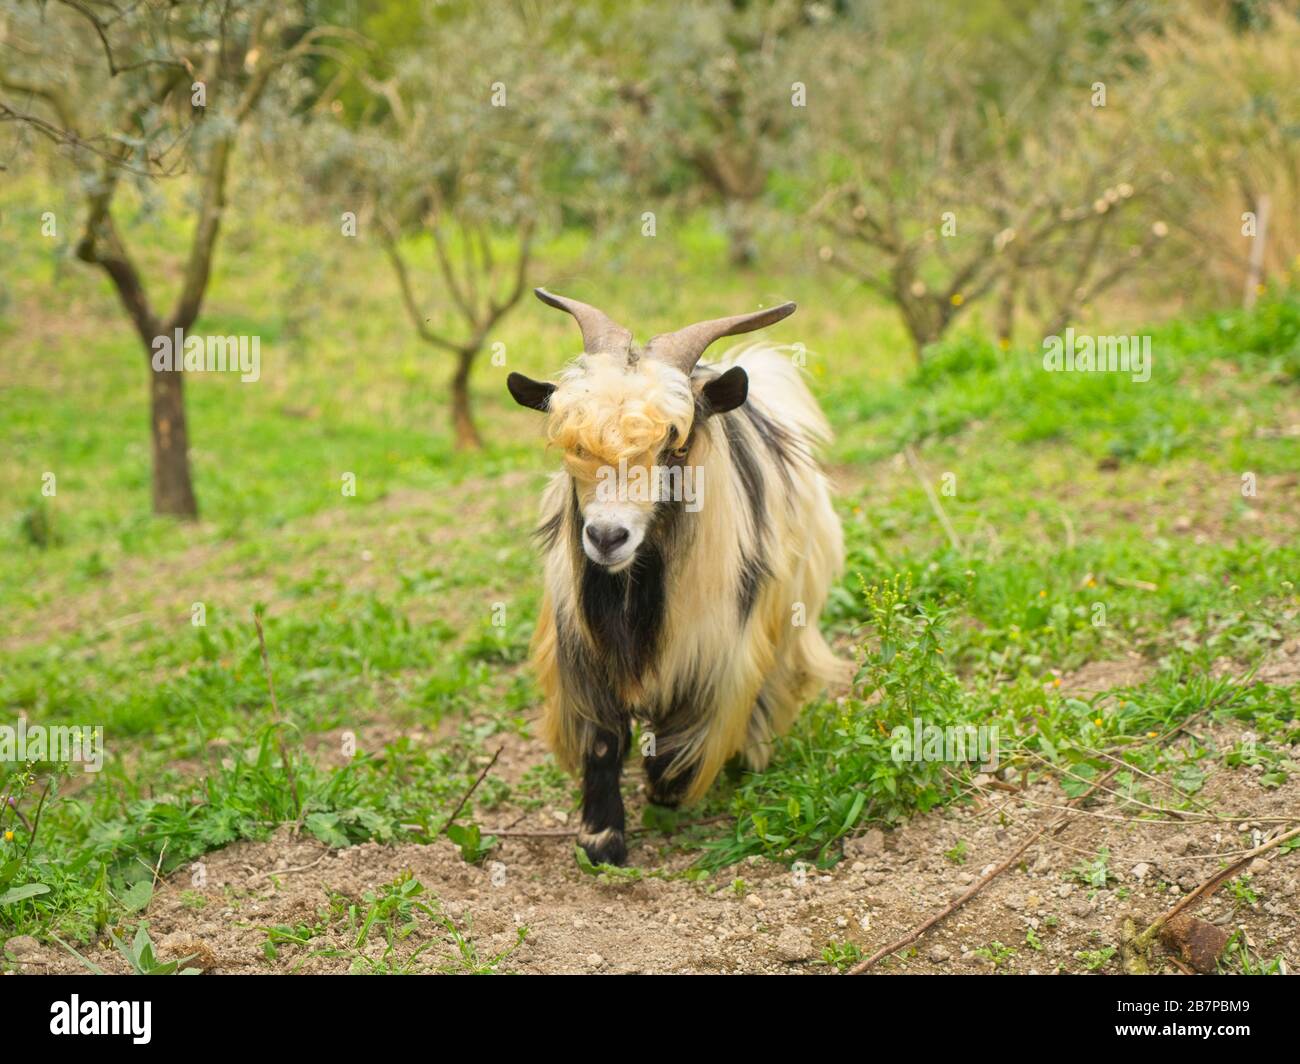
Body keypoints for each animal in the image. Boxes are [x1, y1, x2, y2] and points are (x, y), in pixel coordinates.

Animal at [507, 289, 846, 865]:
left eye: (676, 443)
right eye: (576, 445)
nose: (607, 536)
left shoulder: (718, 652)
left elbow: (678, 739)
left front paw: (665, 790)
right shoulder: (582, 653)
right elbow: (603, 741)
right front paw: (601, 840)